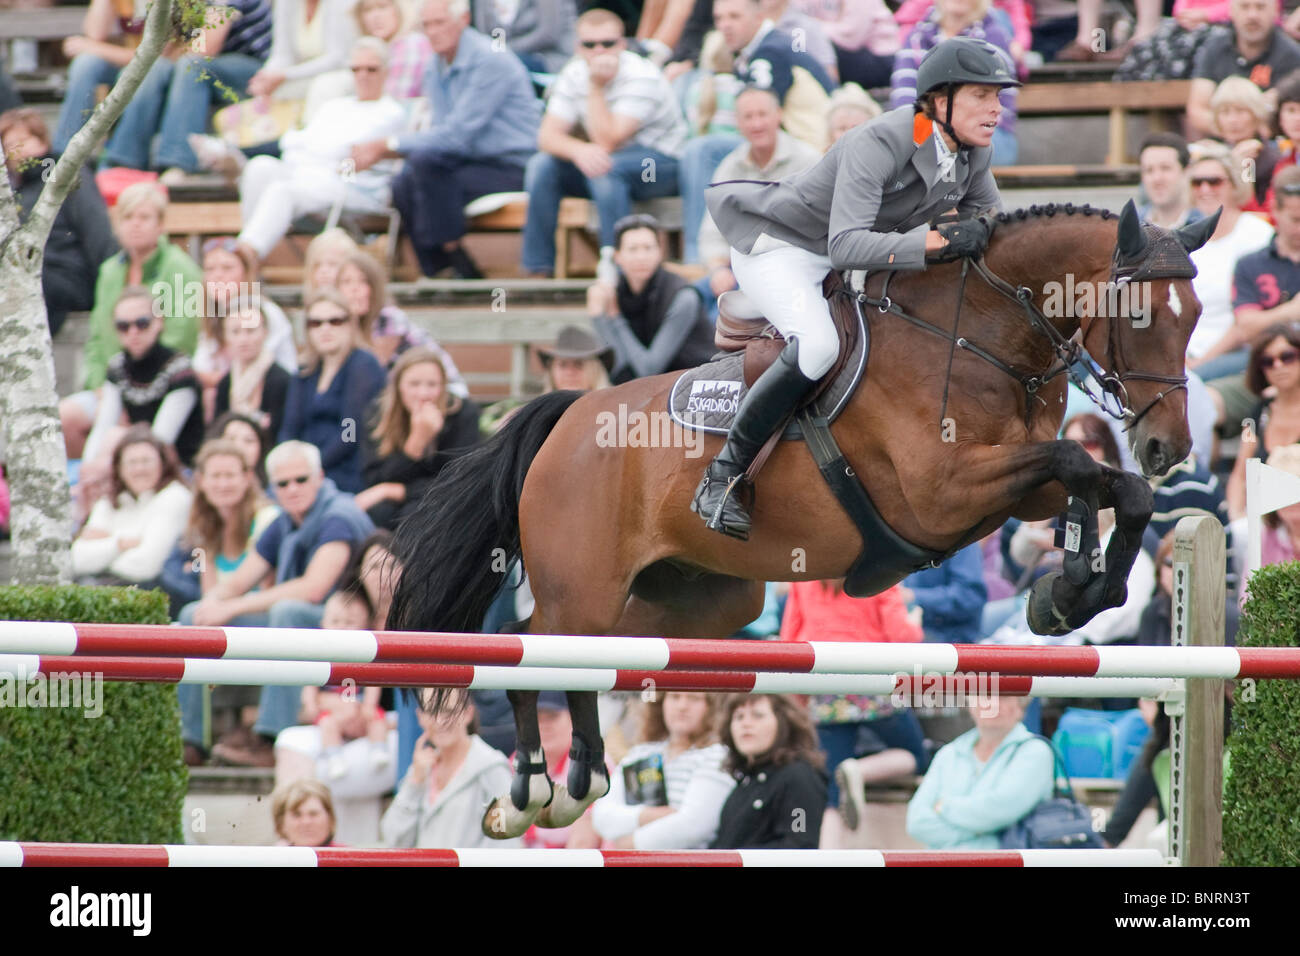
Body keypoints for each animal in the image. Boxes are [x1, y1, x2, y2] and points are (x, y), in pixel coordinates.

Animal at [389, 200, 1220, 839]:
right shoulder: (945, 490)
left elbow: (1107, 486)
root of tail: (565, 416)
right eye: (1140, 314)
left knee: (594, 663)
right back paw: (532, 790)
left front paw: (1070, 593)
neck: (977, 334)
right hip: (583, 589)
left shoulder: (1016, 488)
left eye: (1199, 317)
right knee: (530, 652)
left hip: (699, 604)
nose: (1169, 446)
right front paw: (1070, 587)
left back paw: (580, 782)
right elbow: (1079, 464)